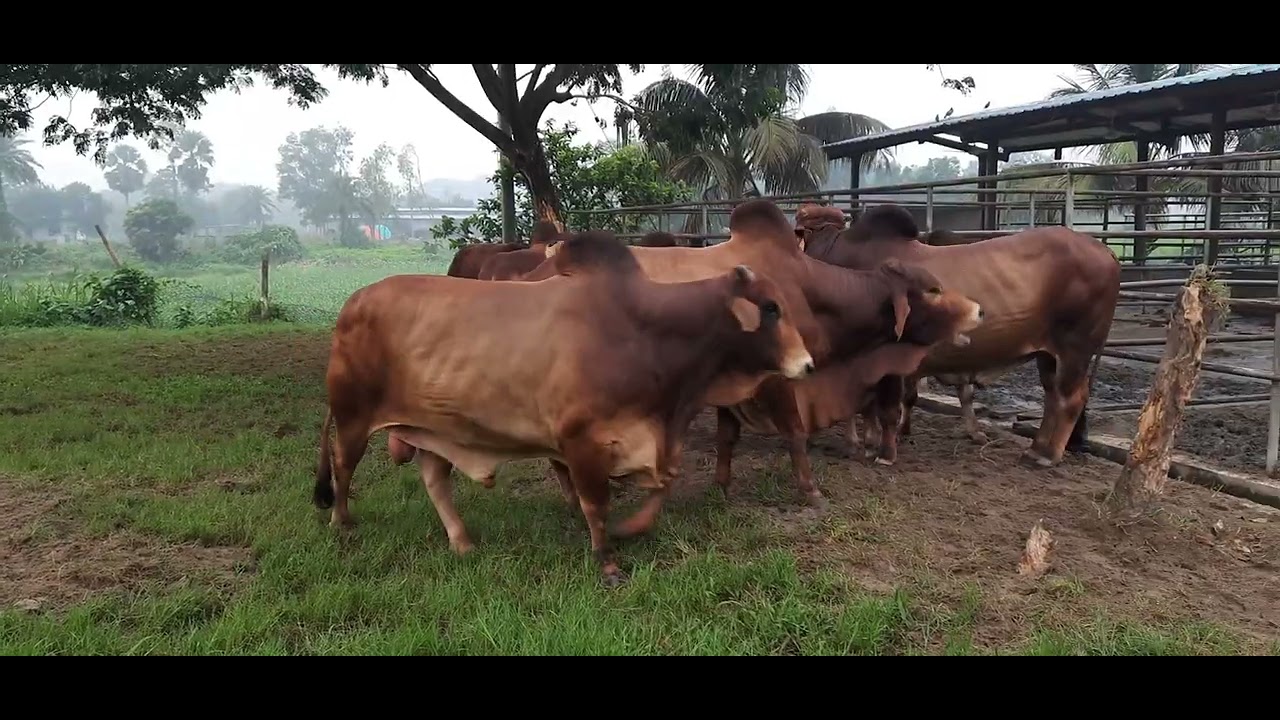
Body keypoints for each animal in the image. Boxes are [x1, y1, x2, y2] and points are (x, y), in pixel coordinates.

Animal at [313, 229, 816, 586]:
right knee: (343, 463)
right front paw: (607, 562)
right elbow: (596, 503)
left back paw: (462, 542)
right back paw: (342, 523)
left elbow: (662, 486)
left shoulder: (653, 436)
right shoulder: (581, 442)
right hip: (353, 416)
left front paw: (632, 528)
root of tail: (352, 302)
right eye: (771, 308)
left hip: (438, 429)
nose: (808, 365)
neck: (648, 334)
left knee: (435, 479)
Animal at [522, 198, 980, 506]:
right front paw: (810, 491)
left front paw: (722, 486)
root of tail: (536, 272)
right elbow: (795, 433)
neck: (808, 290)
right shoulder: (779, 380)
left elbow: (727, 438)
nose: (978, 309)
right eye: (933, 290)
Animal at [804, 202, 1120, 469]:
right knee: (1052, 396)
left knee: (1071, 398)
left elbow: (886, 409)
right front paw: (866, 444)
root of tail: (1104, 251)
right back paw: (1035, 448)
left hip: (1075, 348)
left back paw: (1048, 455)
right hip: (1048, 355)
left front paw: (883, 453)